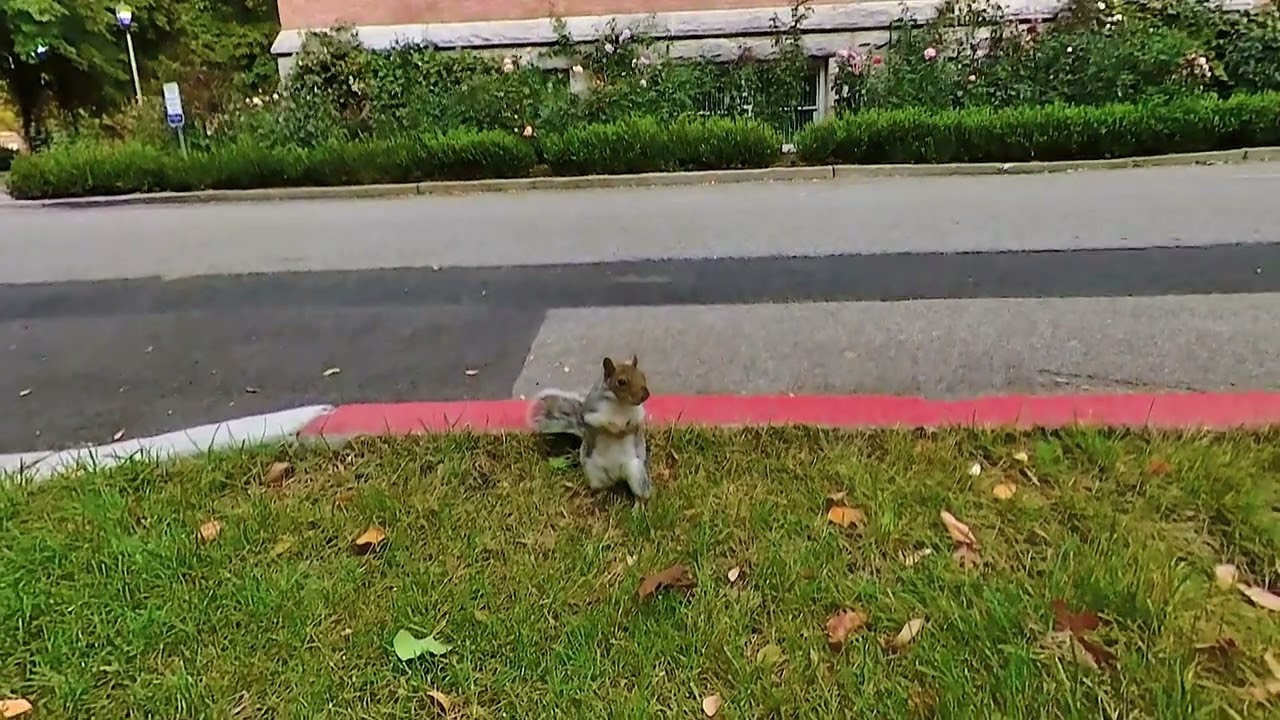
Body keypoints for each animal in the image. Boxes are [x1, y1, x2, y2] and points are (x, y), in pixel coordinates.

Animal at [527, 355, 653, 500]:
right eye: (621, 382)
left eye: (642, 375)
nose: (645, 395)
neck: (620, 405)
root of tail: (616, 475)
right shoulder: (591, 413)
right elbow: (599, 424)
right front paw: (614, 429)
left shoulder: (638, 414)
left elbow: (635, 426)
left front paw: (625, 429)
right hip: (594, 472)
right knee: (600, 487)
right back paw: (598, 497)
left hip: (636, 472)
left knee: (640, 492)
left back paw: (638, 504)